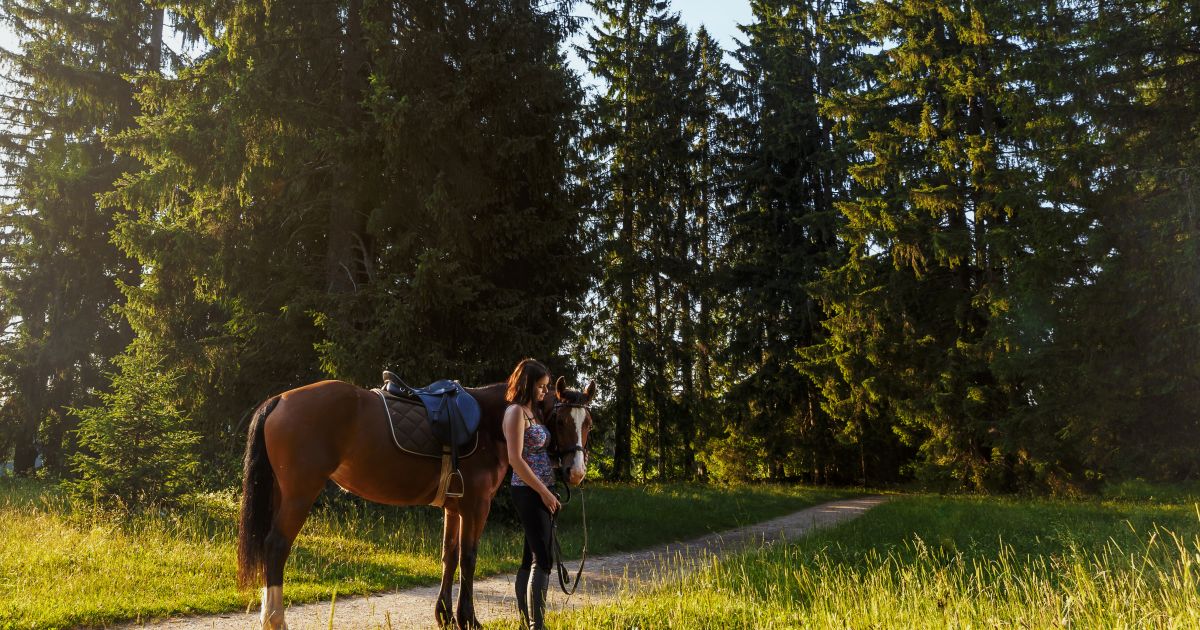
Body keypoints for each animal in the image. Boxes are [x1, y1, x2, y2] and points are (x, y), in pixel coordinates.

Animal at [235, 375, 596, 630]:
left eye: (588, 424)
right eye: (560, 421)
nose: (575, 471)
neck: (494, 421)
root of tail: (281, 399)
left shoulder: (454, 508)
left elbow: (449, 557)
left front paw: (445, 616)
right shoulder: (476, 506)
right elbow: (468, 558)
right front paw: (468, 619)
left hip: (283, 493)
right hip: (300, 494)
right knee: (277, 546)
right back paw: (275, 620)